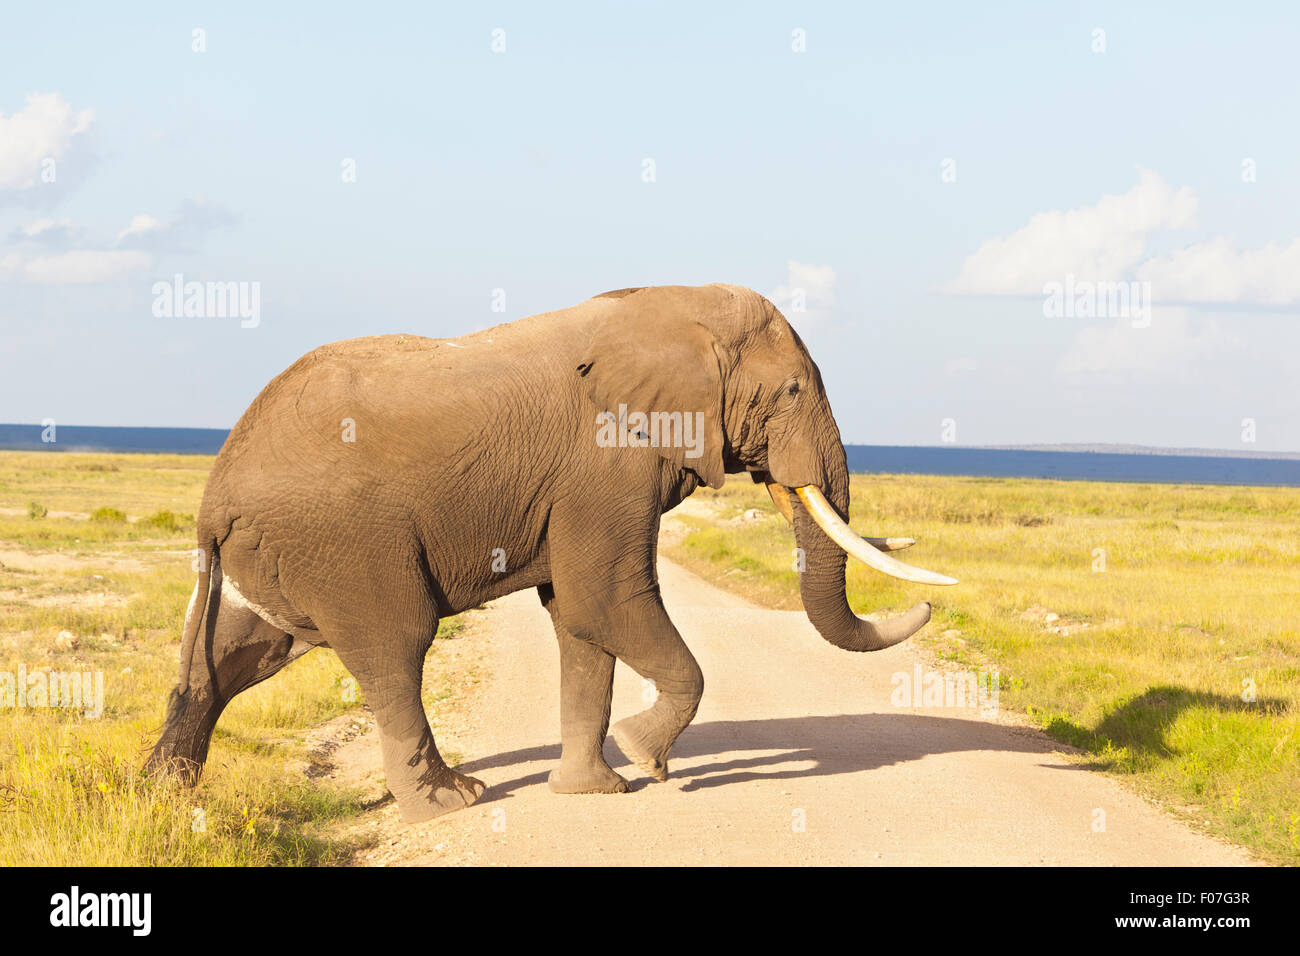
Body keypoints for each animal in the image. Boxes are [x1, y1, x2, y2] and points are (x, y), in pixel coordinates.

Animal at [145, 283, 956, 823]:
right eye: (790, 390)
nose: (930, 598)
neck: (673, 304)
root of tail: (216, 487)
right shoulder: (606, 464)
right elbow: (604, 599)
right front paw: (645, 759)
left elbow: (578, 618)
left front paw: (594, 791)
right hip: (342, 541)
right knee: (395, 648)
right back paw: (450, 804)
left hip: (272, 553)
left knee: (231, 659)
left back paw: (164, 794)